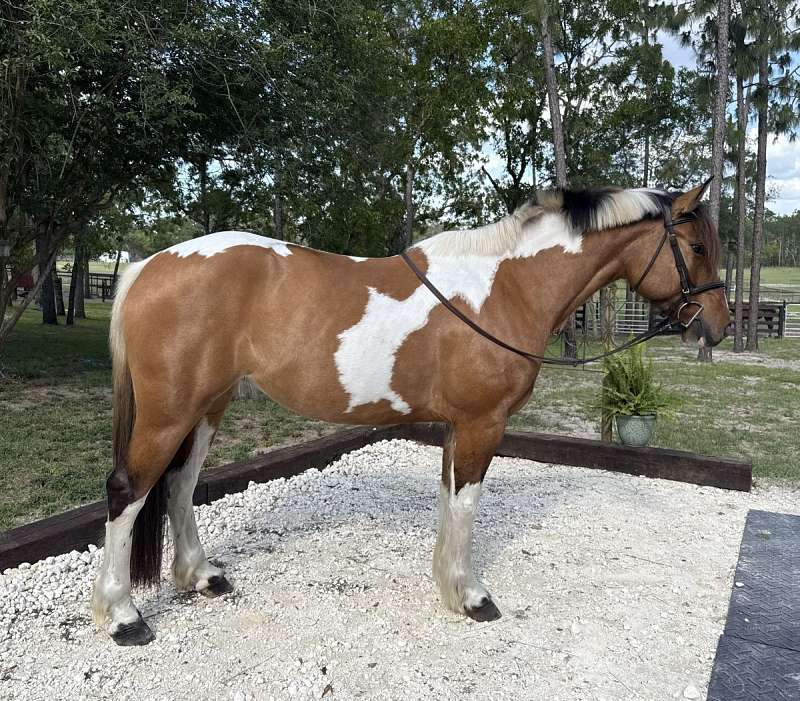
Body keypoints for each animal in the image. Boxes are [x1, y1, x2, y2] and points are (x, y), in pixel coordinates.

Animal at [91, 180, 730, 645]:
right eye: (698, 247)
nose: (717, 328)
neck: (507, 287)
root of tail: (149, 266)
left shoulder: (457, 426)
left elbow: (449, 502)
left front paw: (447, 584)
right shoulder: (482, 424)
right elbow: (467, 505)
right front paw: (472, 597)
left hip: (207, 406)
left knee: (179, 485)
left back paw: (201, 576)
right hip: (170, 412)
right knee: (129, 491)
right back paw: (123, 617)